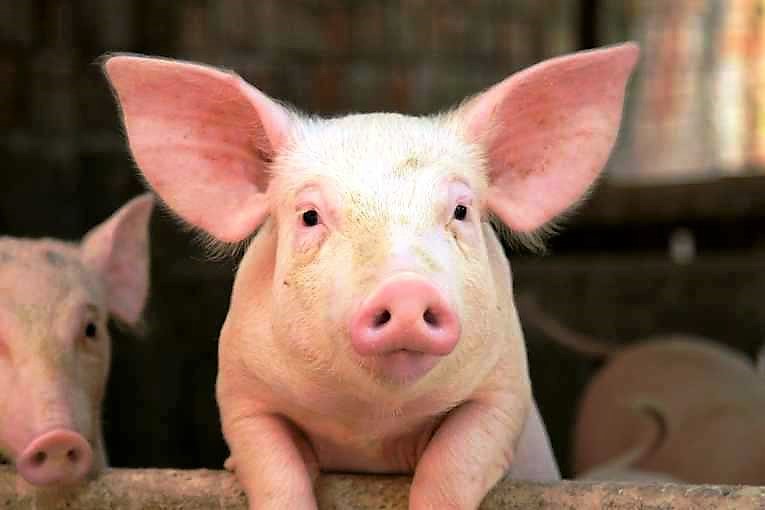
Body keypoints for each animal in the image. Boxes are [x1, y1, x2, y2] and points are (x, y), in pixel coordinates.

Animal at [103, 43, 639, 509]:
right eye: (310, 216)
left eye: (461, 210)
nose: (406, 290)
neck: (369, 426)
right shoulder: (241, 393)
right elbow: (273, 469)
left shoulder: (504, 390)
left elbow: (453, 464)